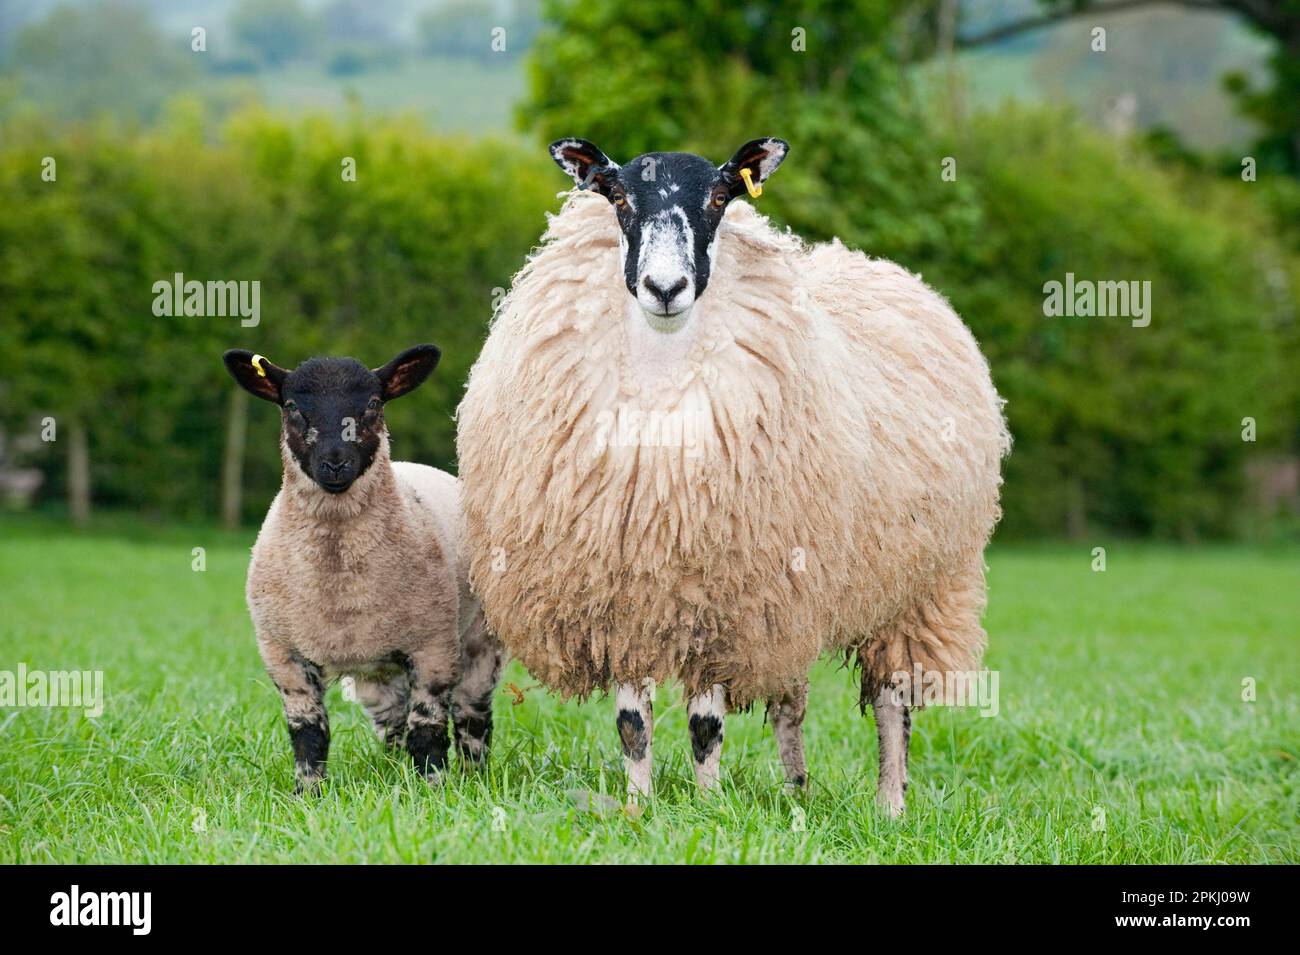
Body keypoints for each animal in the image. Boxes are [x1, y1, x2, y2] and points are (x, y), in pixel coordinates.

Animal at [224, 345, 501, 792]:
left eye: (373, 404)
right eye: (292, 406)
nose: (335, 463)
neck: (339, 580)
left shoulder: (434, 647)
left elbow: (428, 729)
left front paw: (432, 786)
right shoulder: (283, 655)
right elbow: (308, 733)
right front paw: (307, 793)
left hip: (478, 638)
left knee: (471, 715)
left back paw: (474, 772)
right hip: (380, 668)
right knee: (392, 720)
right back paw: (392, 766)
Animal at [456, 138, 1010, 813]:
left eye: (721, 197)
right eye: (618, 198)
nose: (665, 287)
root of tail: (882, 268)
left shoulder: (725, 603)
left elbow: (705, 725)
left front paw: (708, 804)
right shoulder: (622, 595)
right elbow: (632, 724)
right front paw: (638, 807)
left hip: (919, 587)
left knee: (891, 702)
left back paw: (890, 805)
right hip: (796, 594)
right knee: (791, 703)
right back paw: (798, 791)